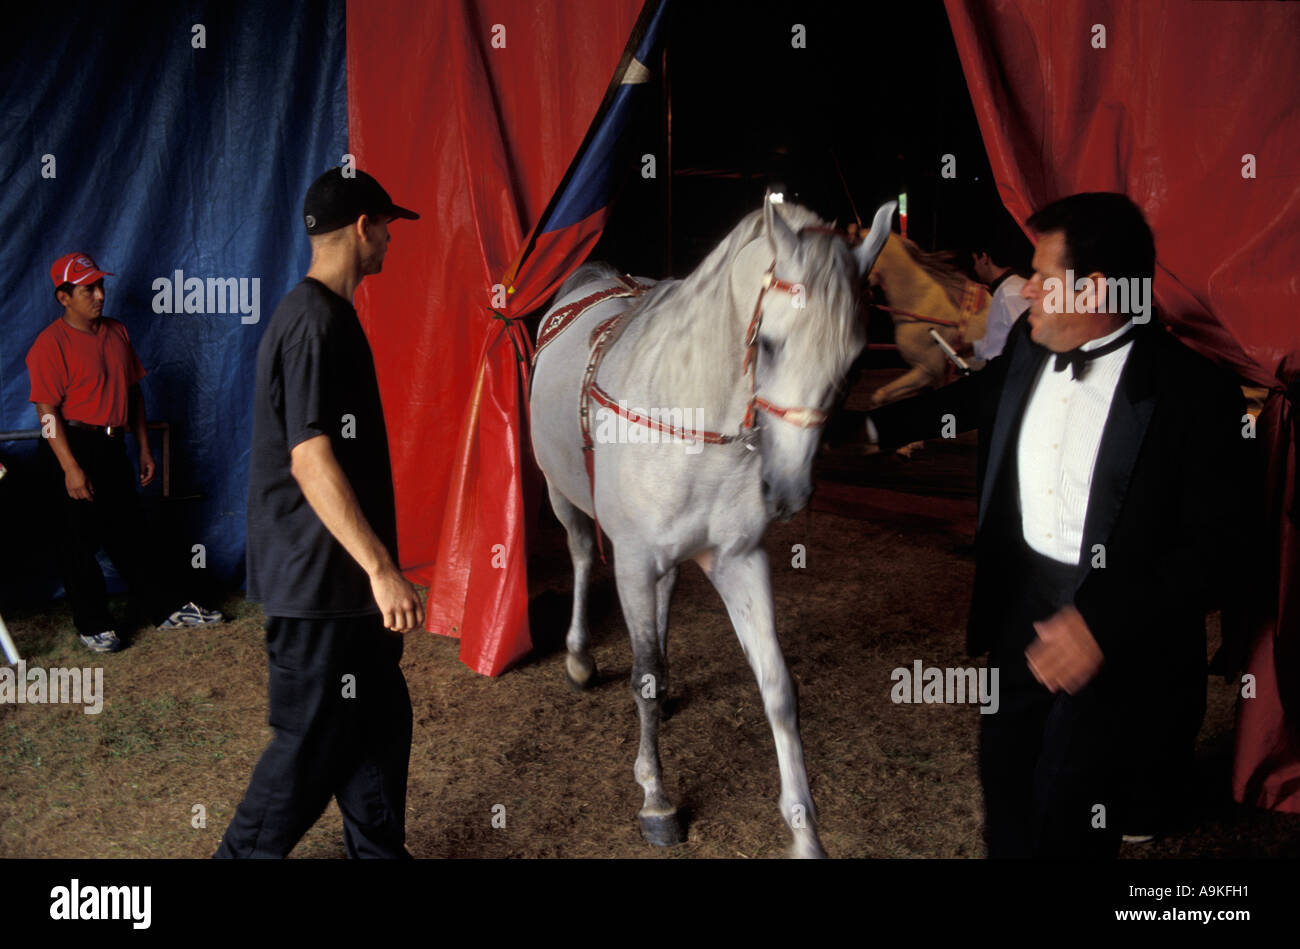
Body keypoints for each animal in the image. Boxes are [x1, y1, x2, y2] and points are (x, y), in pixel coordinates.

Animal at [528, 198, 895, 857]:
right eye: (768, 343)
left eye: (855, 362)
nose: (787, 491)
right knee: (580, 557)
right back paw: (578, 657)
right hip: (560, 495)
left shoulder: (739, 559)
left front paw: (804, 829)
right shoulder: (632, 559)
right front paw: (656, 799)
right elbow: (644, 676)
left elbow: (777, 687)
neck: (690, 414)